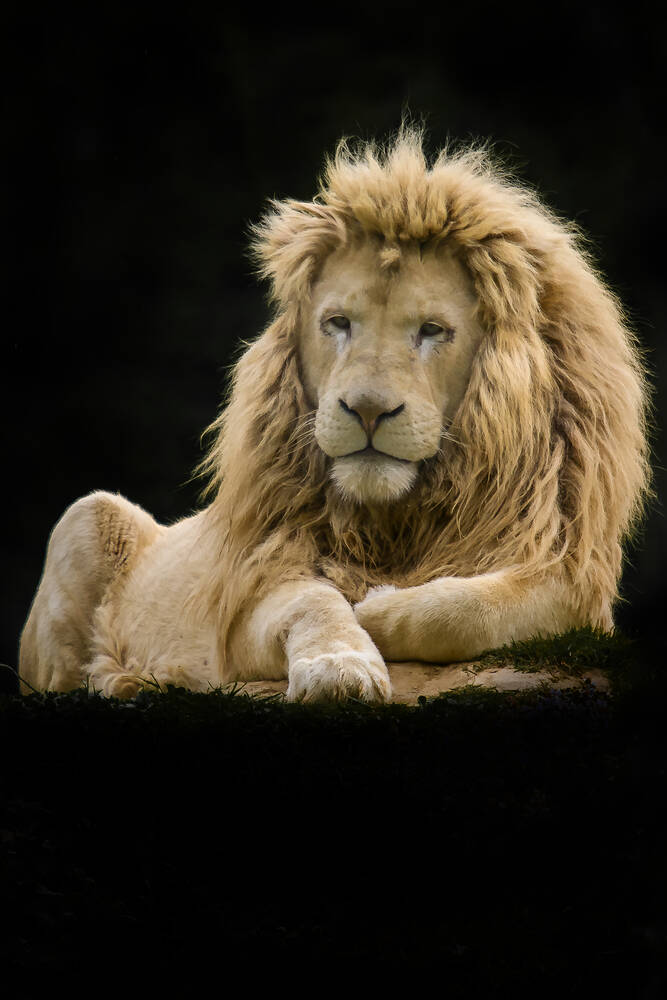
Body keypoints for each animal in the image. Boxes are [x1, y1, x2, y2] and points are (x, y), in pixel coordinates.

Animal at [19, 128, 650, 702]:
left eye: (432, 330)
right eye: (338, 323)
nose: (367, 410)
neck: (397, 520)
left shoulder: (574, 574)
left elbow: (474, 606)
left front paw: (378, 611)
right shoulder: (249, 596)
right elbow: (313, 599)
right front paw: (341, 663)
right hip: (86, 516)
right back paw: (121, 679)